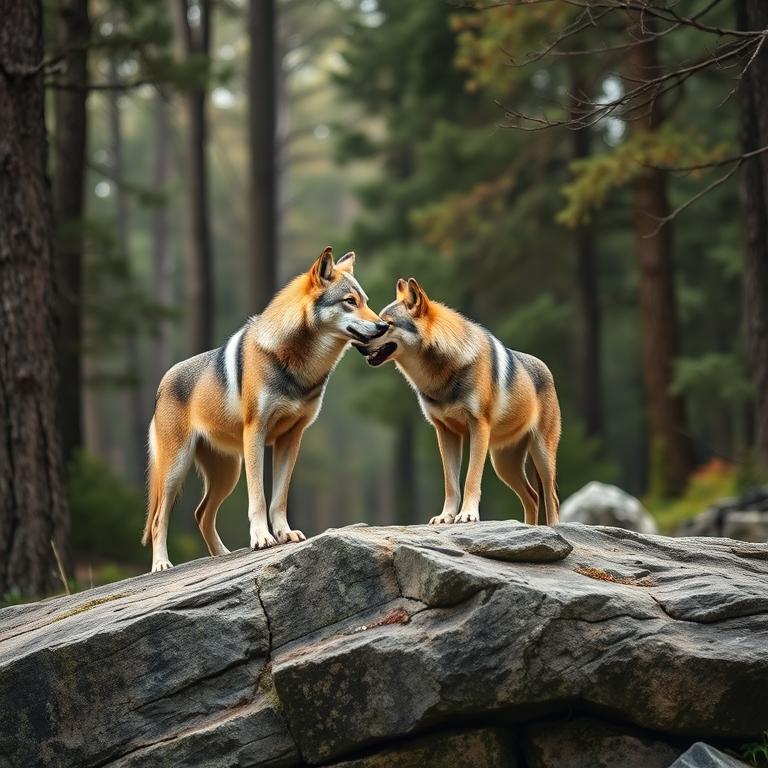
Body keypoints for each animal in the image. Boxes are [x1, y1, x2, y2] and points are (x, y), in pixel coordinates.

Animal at [143, 247, 388, 572]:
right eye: (350, 302)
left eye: (366, 302)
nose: (384, 326)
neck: (299, 368)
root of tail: (161, 384)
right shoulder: (255, 434)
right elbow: (258, 497)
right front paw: (262, 538)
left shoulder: (291, 438)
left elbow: (278, 498)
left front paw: (284, 533)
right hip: (177, 469)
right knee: (160, 518)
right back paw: (161, 564)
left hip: (227, 473)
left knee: (201, 514)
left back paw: (223, 555)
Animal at [354, 278, 561, 526]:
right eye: (378, 322)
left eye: (386, 325)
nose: (357, 343)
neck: (440, 376)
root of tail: (547, 369)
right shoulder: (445, 433)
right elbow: (451, 484)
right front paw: (446, 516)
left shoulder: (479, 428)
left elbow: (472, 477)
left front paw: (468, 515)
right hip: (503, 464)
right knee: (533, 496)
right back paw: (529, 527)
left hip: (541, 456)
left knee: (551, 497)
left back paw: (555, 528)